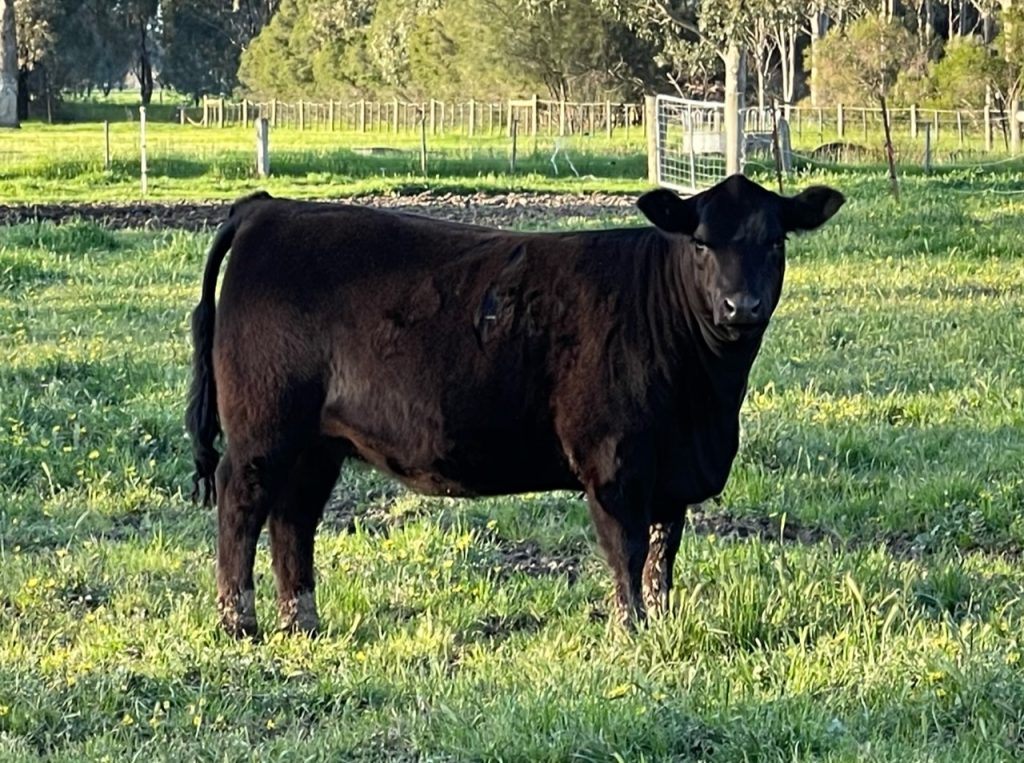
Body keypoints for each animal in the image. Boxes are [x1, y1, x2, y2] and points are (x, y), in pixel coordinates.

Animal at [186, 174, 844, 638]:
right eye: (702, 244)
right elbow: (627, 554)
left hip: (317, 444)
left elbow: (662, 560)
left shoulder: (671, 476)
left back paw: (303, 623)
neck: (706, 403)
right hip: (263, 428)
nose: (741, 305)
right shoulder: (613, 463)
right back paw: (239, 624)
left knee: (293, 519)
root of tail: (269, 207)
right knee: (242, 503)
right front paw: (630, 631)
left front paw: (660, 626)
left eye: (775, 240)